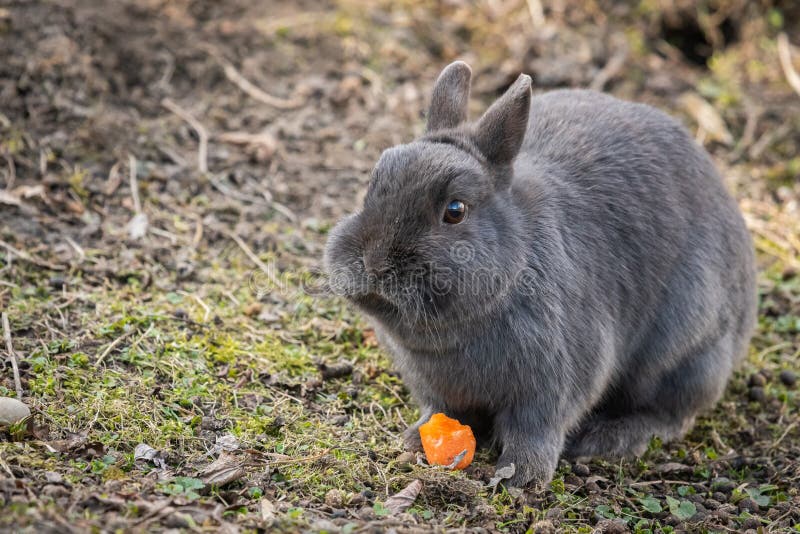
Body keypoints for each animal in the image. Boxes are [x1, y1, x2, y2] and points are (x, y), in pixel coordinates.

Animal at [323, 61, 757, 487]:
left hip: (681, 351)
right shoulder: (438, 390)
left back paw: (608, 438)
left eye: (455, 210)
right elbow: (443, 413)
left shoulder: (552, 385)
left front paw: (521, 477)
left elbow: (534, 430)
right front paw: (417, 440)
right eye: (374, 183)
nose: (374, 263)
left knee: (670, 413)